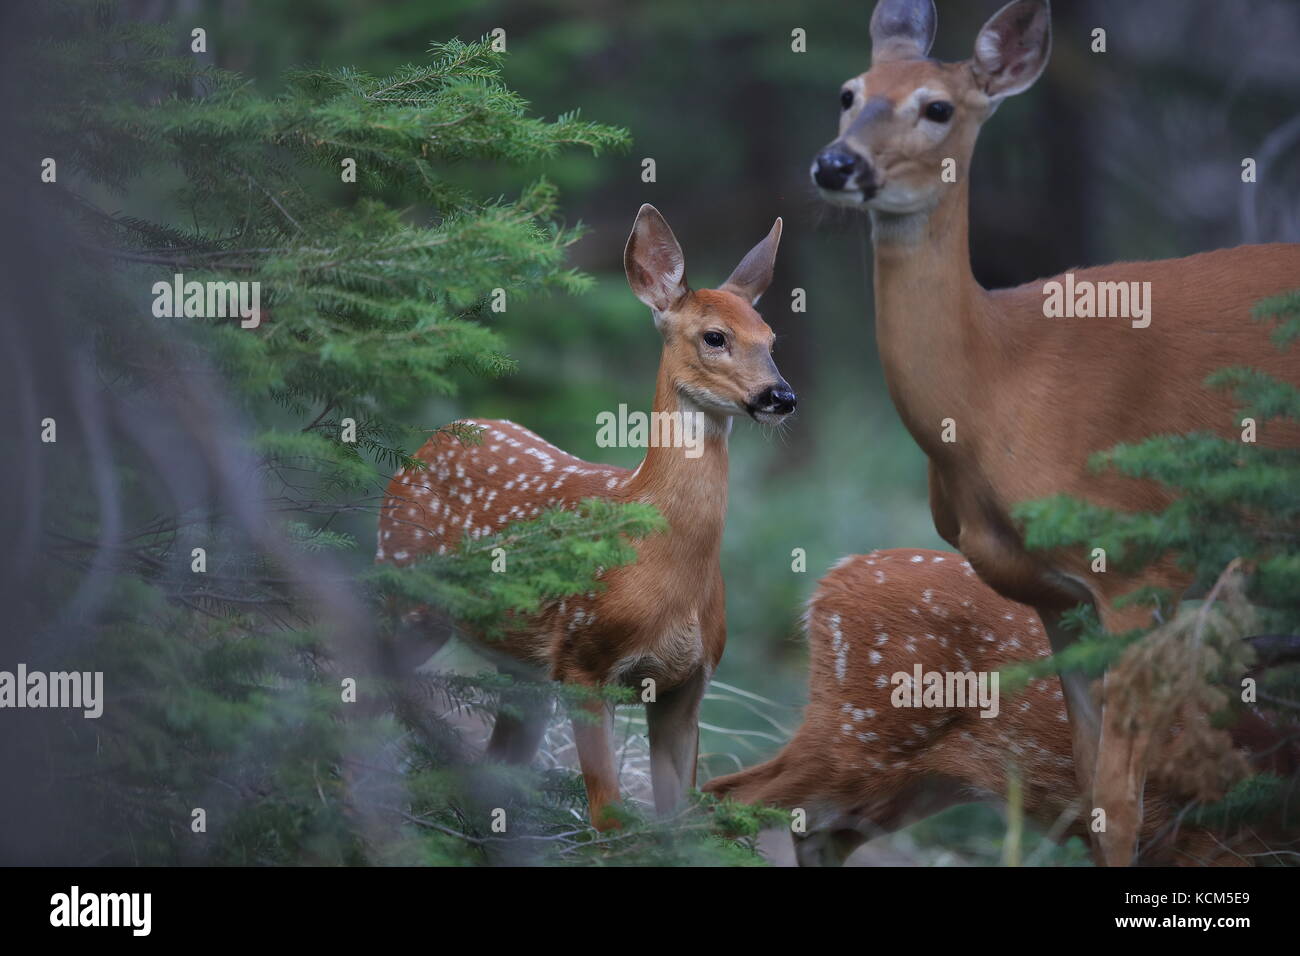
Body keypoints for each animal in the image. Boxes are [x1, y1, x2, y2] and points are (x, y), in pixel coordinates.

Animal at [375, 204, 797, 829]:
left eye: (770, 338)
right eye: (714, 337)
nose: (780, 396)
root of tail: (435, 437)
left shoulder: (689, 683)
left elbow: (677, 822)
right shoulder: (583, 660)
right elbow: (609, 818)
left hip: (519, 663)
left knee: (500, 760)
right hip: (408, 590)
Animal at [704, 549, 1296, 866]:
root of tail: (832, 580)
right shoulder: (1207, 842)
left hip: (914, 782)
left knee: (813, 829)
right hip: (859, 734)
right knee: (726, 796)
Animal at [809, 0, 1300, 865]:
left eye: (938, 108)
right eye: (848, 91)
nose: (836, 164)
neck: (996, 391)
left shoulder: (1141, 564)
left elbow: (1121, 799)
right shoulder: (1048, 594)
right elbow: (1092, 797)